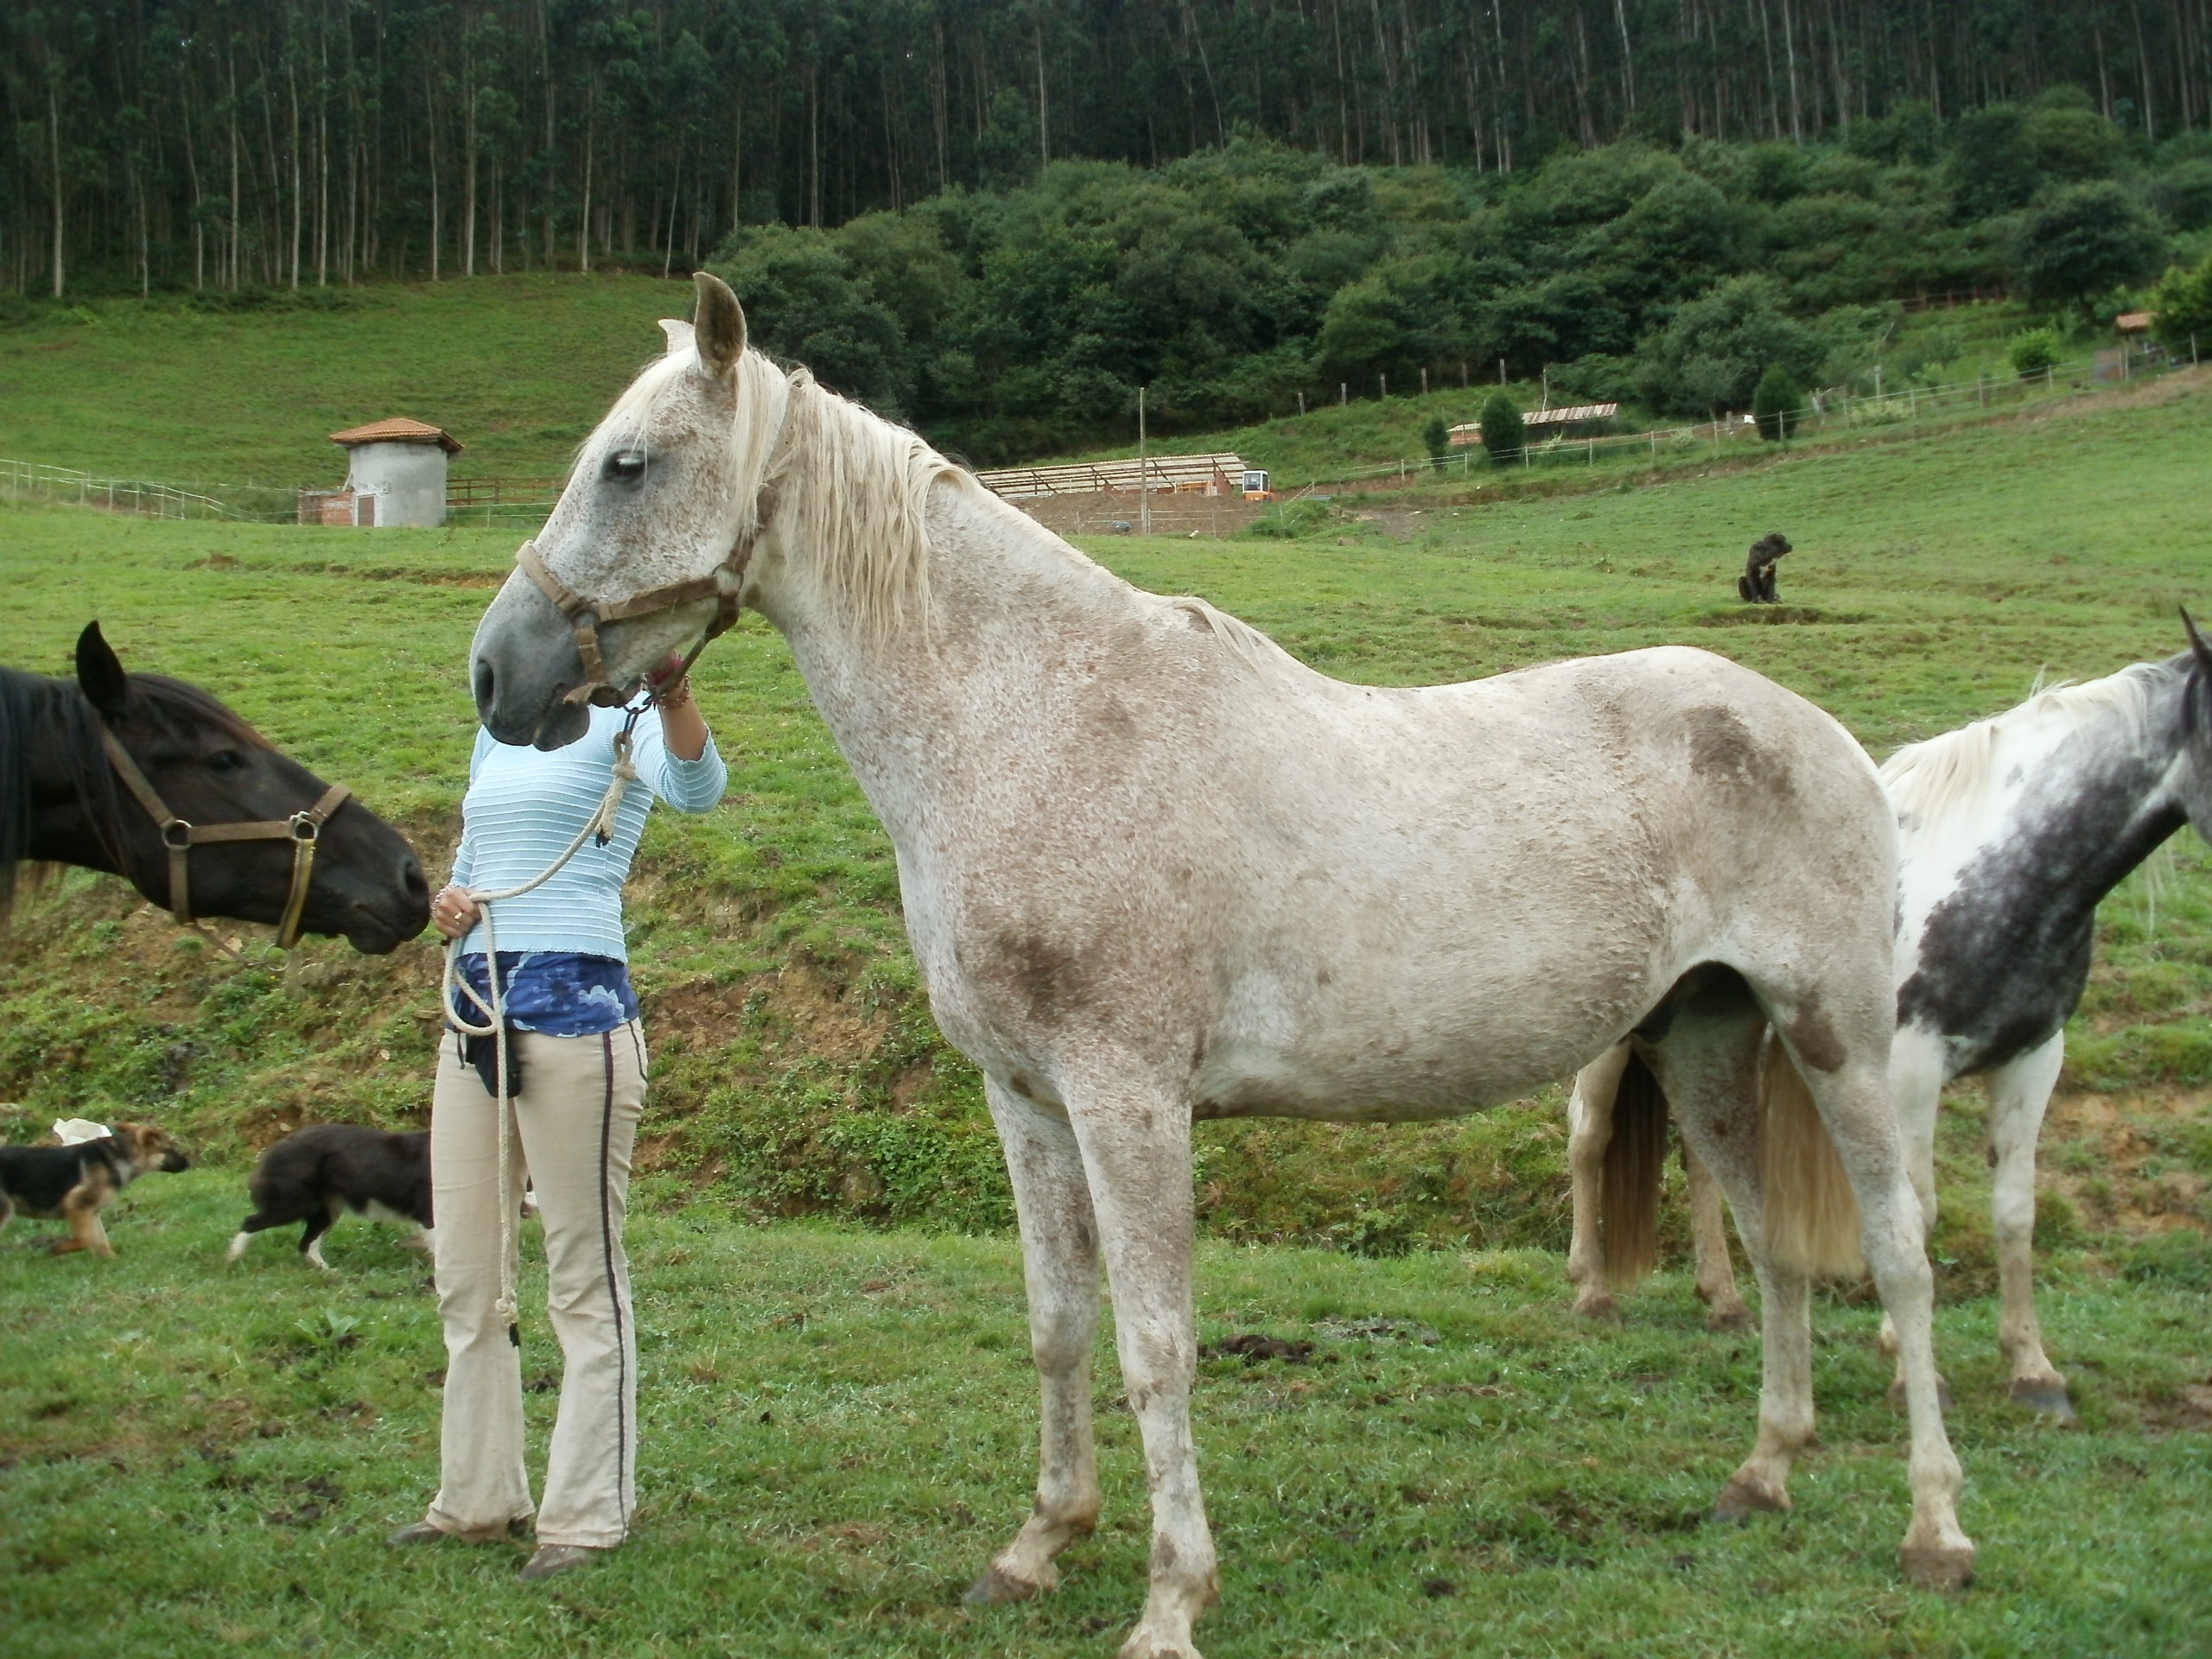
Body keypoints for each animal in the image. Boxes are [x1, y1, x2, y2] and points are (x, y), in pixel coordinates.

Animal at [465, 273, 1974, 1657]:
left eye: (629, 464)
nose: (496, 675)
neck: (1033, 724)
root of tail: (1824, 736)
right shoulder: (1026, 1099)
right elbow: (1059, 1323)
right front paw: (1037, 1545)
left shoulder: (1130, 1100)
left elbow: (1156, 1343)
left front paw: (1169, 1600)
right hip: (1707, 1036)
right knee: (1774, 1246)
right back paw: (1764, 1473)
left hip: (1834, 1036)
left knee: (1899, 1258)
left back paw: (1935, 1529)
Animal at [1566, 631, 2212, 1421]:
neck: (1989, 878)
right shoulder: (1909, 1070)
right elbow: (1920, 1209)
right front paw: (1908, 1363)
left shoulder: (2032, 1059)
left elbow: (2015, 1213)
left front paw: (2033, 1369)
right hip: (1613, 1049)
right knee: (1589, 1142)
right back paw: (1593, 1290)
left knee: (1701, 1162)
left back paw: (1725, 1300)